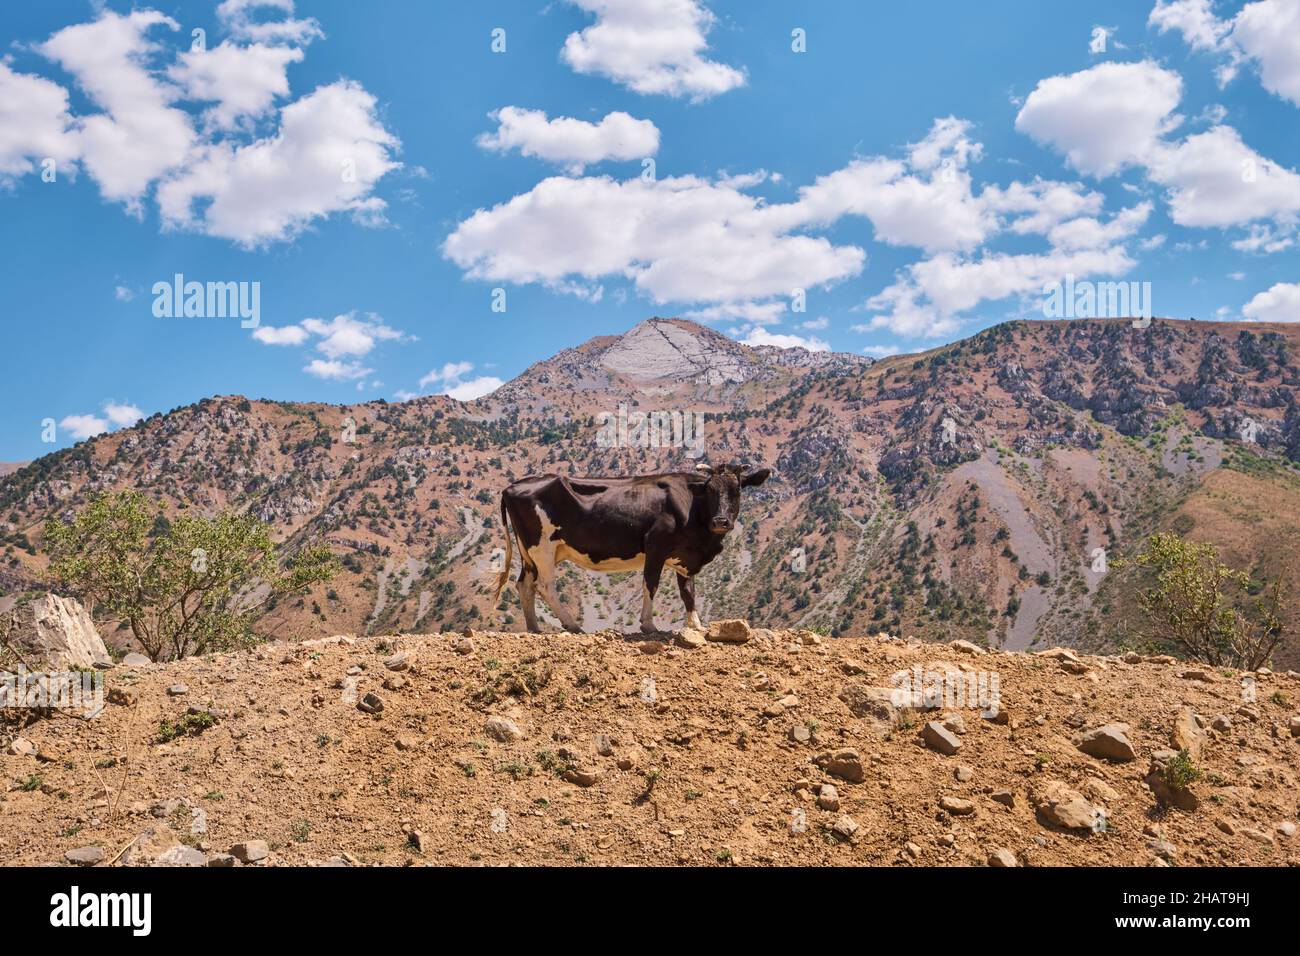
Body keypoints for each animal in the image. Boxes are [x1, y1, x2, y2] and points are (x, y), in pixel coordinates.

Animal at [493, 462, 771, 633]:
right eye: (710, 490)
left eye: (737, 490)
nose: (721, 521)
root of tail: (512, 486)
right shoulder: (656, 544)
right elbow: (651, 583)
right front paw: (648, 625)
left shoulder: (686, 557)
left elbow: (688, 591)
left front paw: (696, 624)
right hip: (543, 547)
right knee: (545, 586)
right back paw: (573, 626)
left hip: (530, 552)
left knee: (524, 584)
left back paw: (534, 628)